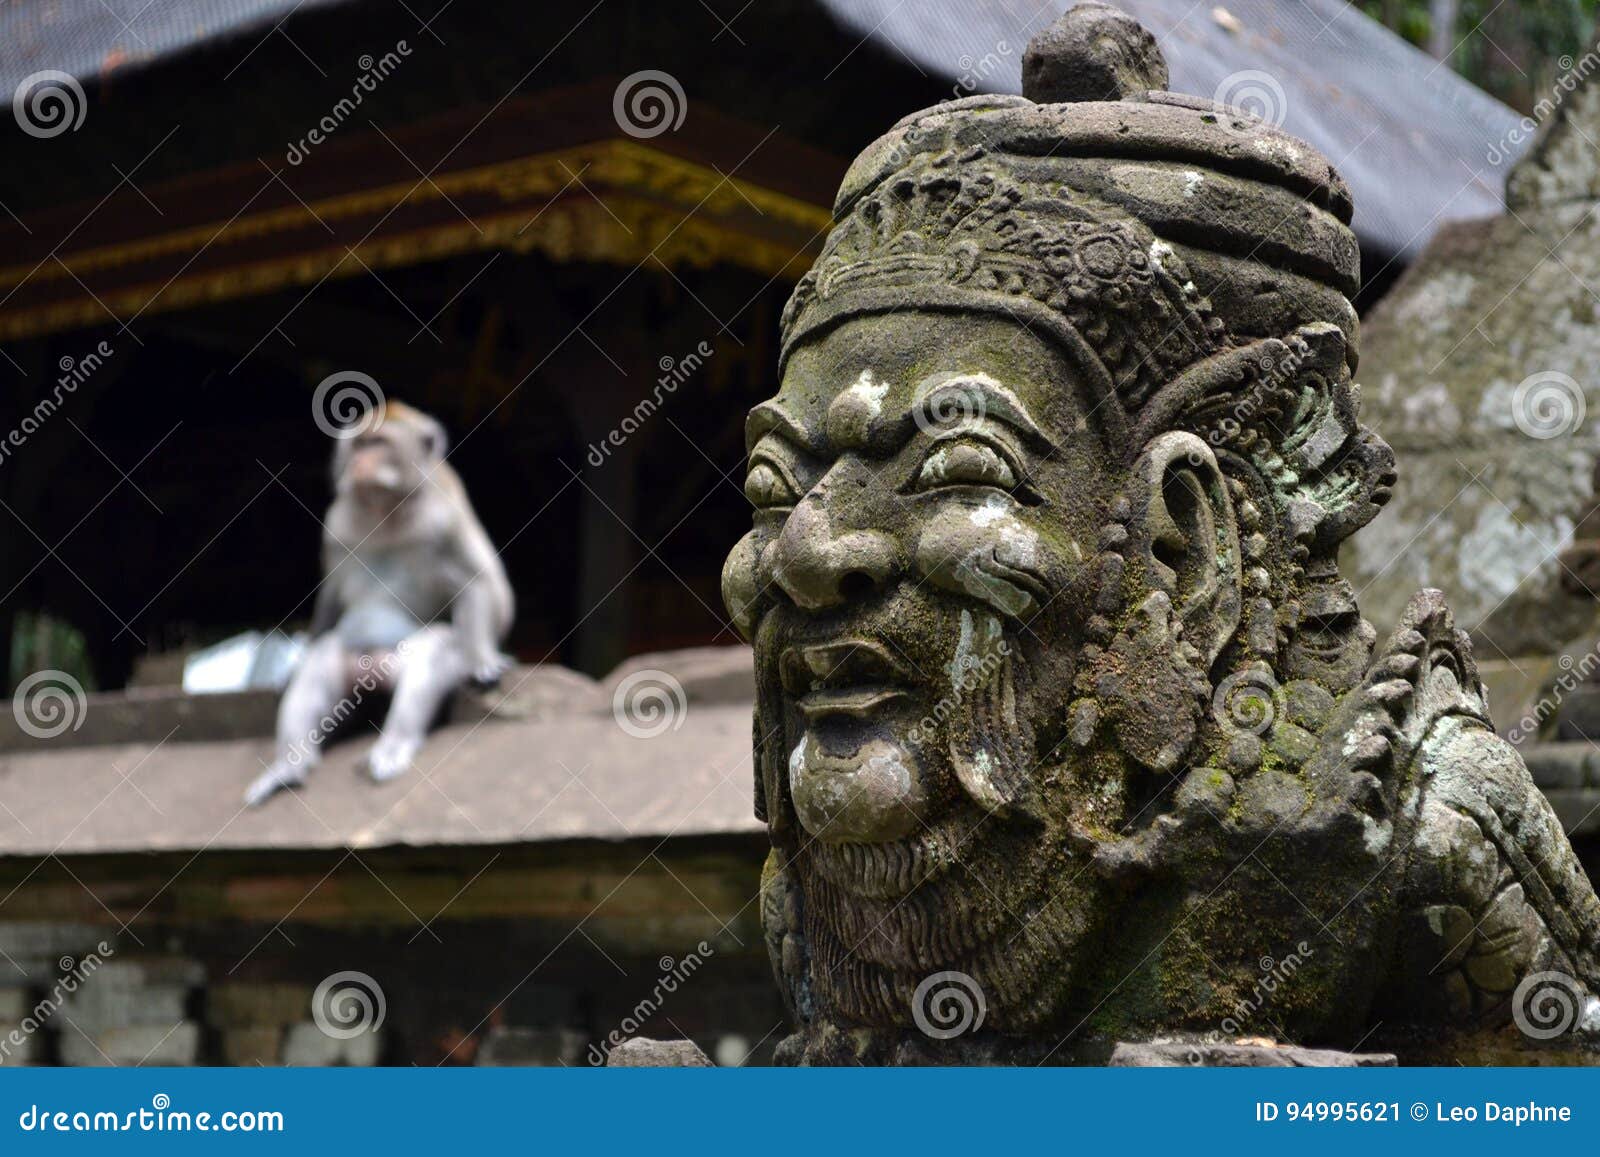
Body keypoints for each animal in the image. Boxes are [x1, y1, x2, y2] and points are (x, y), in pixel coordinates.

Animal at [244, 401, 514, 806]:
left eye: (379, 443)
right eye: (358, 445)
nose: (359, 462)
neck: (385, 508)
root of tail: (368, 671)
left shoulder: (446, 516)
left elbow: (477, 584)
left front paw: (482, 657)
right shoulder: (334, 525)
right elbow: (330, 598)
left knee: (433, 651)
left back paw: (394, 746)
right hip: (344, 660)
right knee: (320, 659)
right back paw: (289, 763)